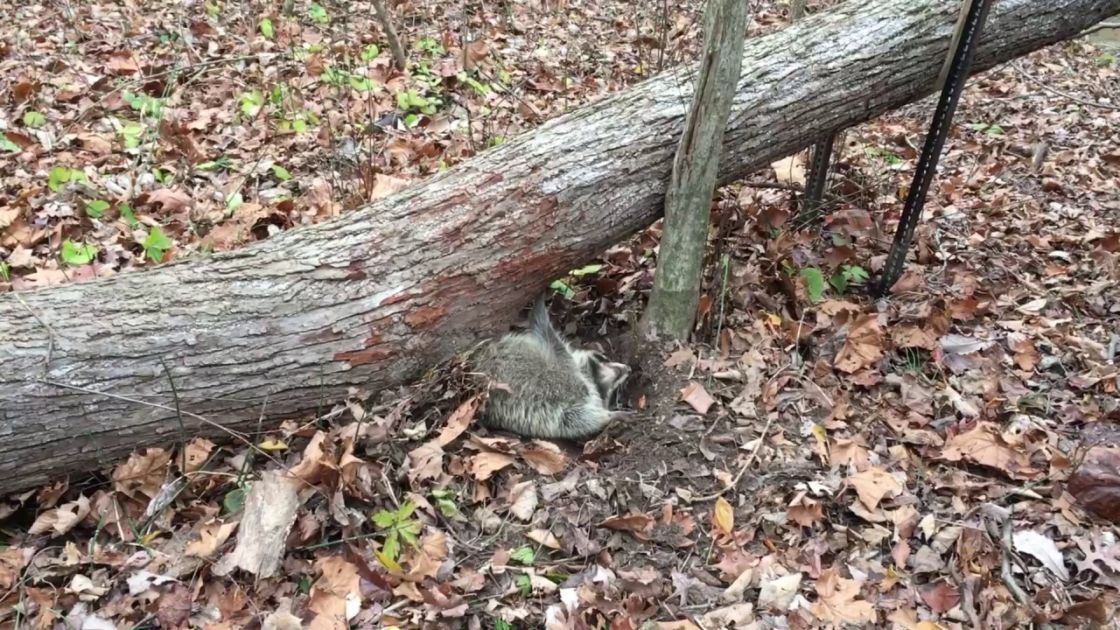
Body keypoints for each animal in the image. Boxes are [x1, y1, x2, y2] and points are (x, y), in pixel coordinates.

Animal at [474, 297, 632, 439]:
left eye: (614, 394)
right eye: (603, 358)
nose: (628, 368)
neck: (588, 377)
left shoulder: (558, 411)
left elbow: (576, 420)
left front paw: (608, 415)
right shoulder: (558, 355)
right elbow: (548, 334)